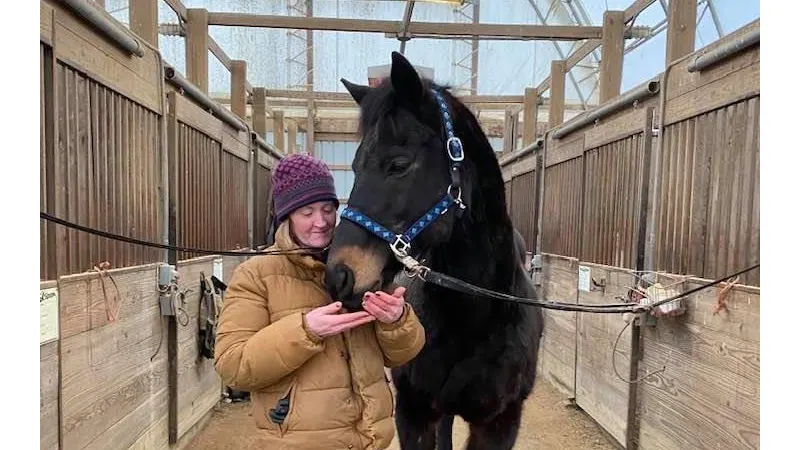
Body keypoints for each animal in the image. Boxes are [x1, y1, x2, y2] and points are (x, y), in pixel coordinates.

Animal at [325, 51, 543, 450]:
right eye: (354, 166)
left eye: (398, 164)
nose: (338, 276)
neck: (473, 318)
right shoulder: (414, 413)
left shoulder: (499, 424)